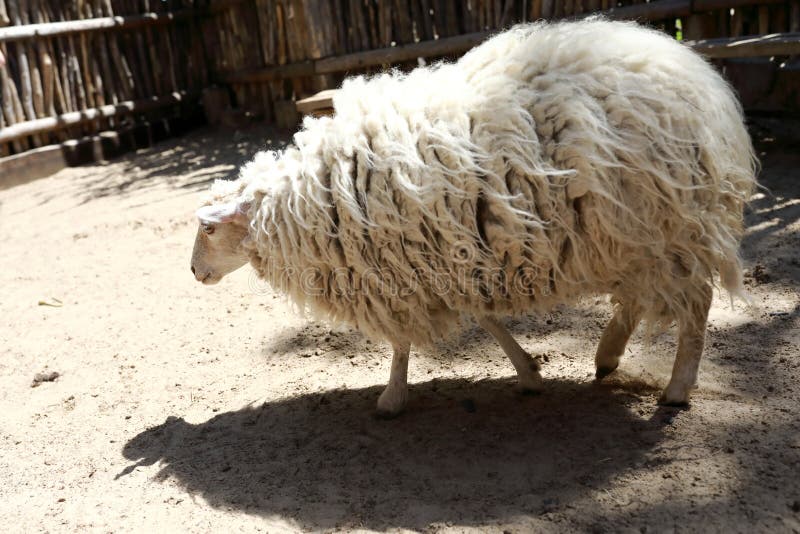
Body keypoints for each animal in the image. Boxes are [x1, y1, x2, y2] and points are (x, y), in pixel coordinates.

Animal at [190, 18, 757, 417]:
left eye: (209, 227)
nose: (195, 273)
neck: (312, 196)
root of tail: (703, 85)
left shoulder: (398, 270)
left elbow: (402, 341)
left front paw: (391, 399)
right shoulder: (450, 259)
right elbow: (484, 319)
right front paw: (528, 372)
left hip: (669, 226)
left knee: (694, 305)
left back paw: (676, 387)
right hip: (631, 233)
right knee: (638, 296)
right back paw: (607, 355)